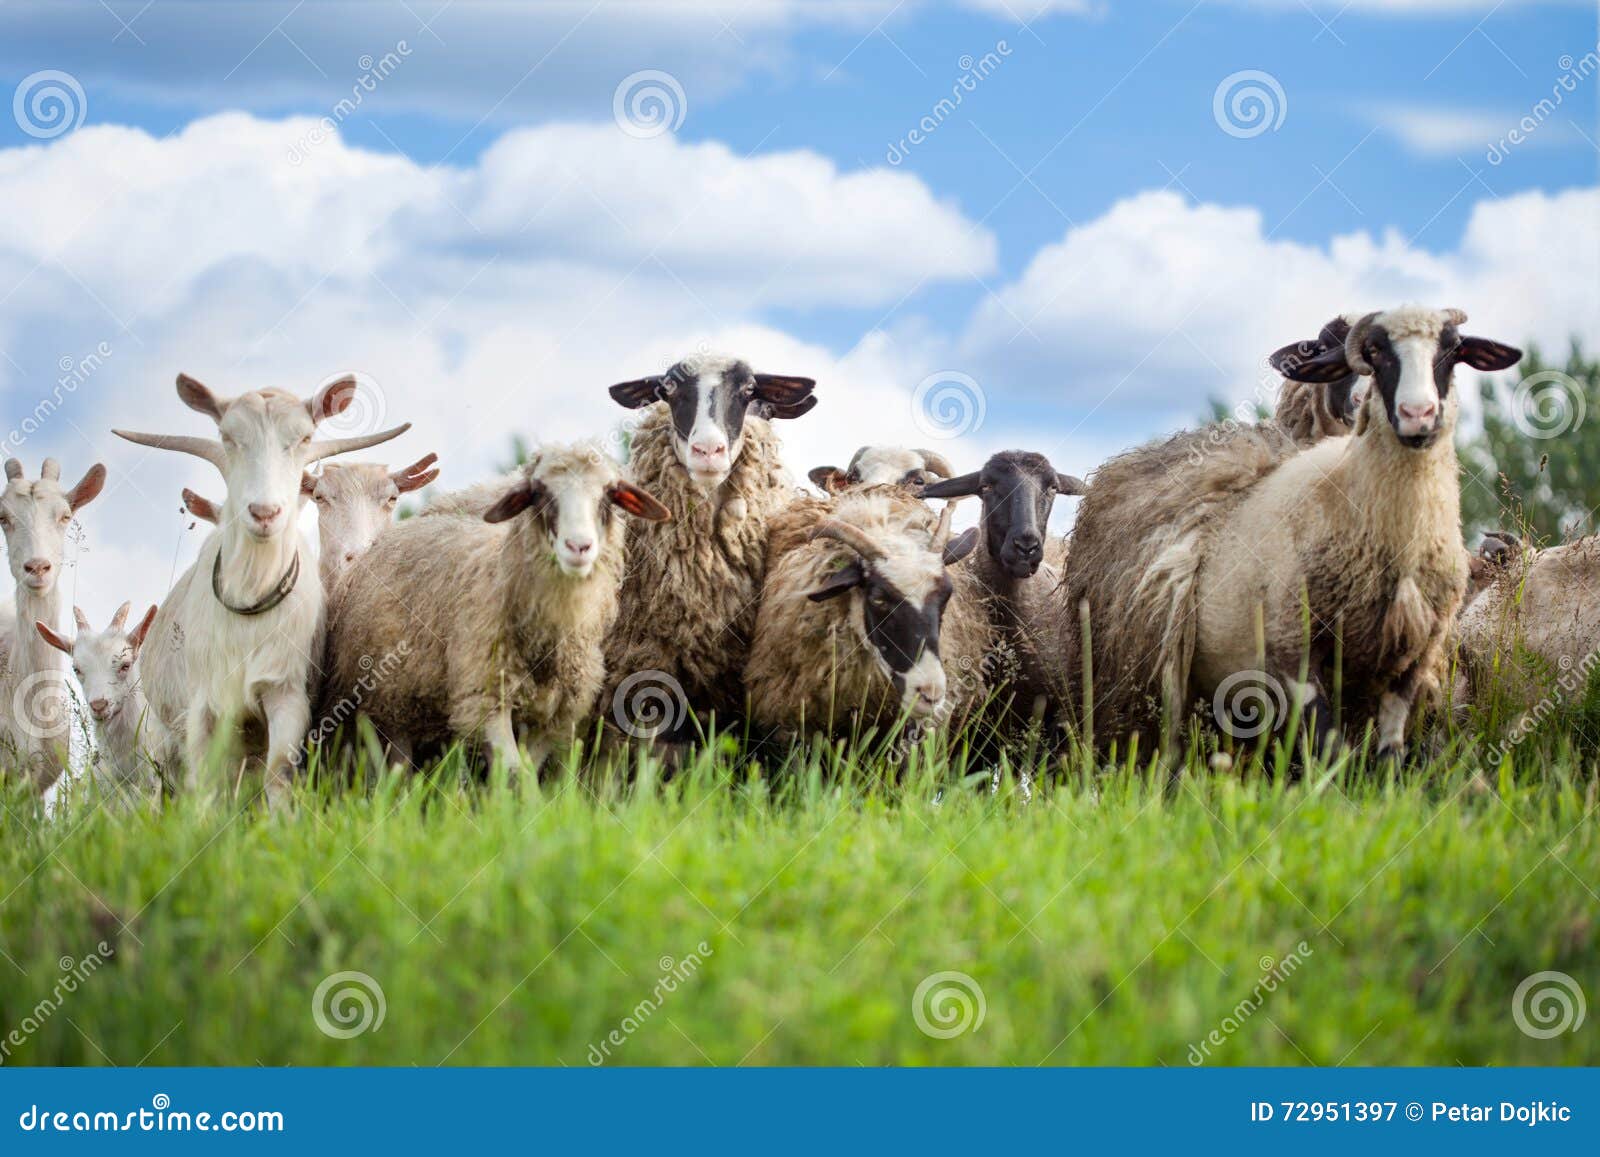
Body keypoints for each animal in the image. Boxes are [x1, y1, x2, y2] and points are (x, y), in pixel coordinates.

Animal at [115, 373, 407, 804]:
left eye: (304, 437)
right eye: (228, 436)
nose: (265, 512)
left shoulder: (287, 693)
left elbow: (279, 771)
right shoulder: (202, 706)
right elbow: (204, 783)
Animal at [317, 443, 670, 772]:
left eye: (609, 495)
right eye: (540, 493)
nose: (579, 546)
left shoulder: (555, 717)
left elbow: (527, 772)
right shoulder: (485, 698)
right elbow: (512, 772)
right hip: (393, 699)